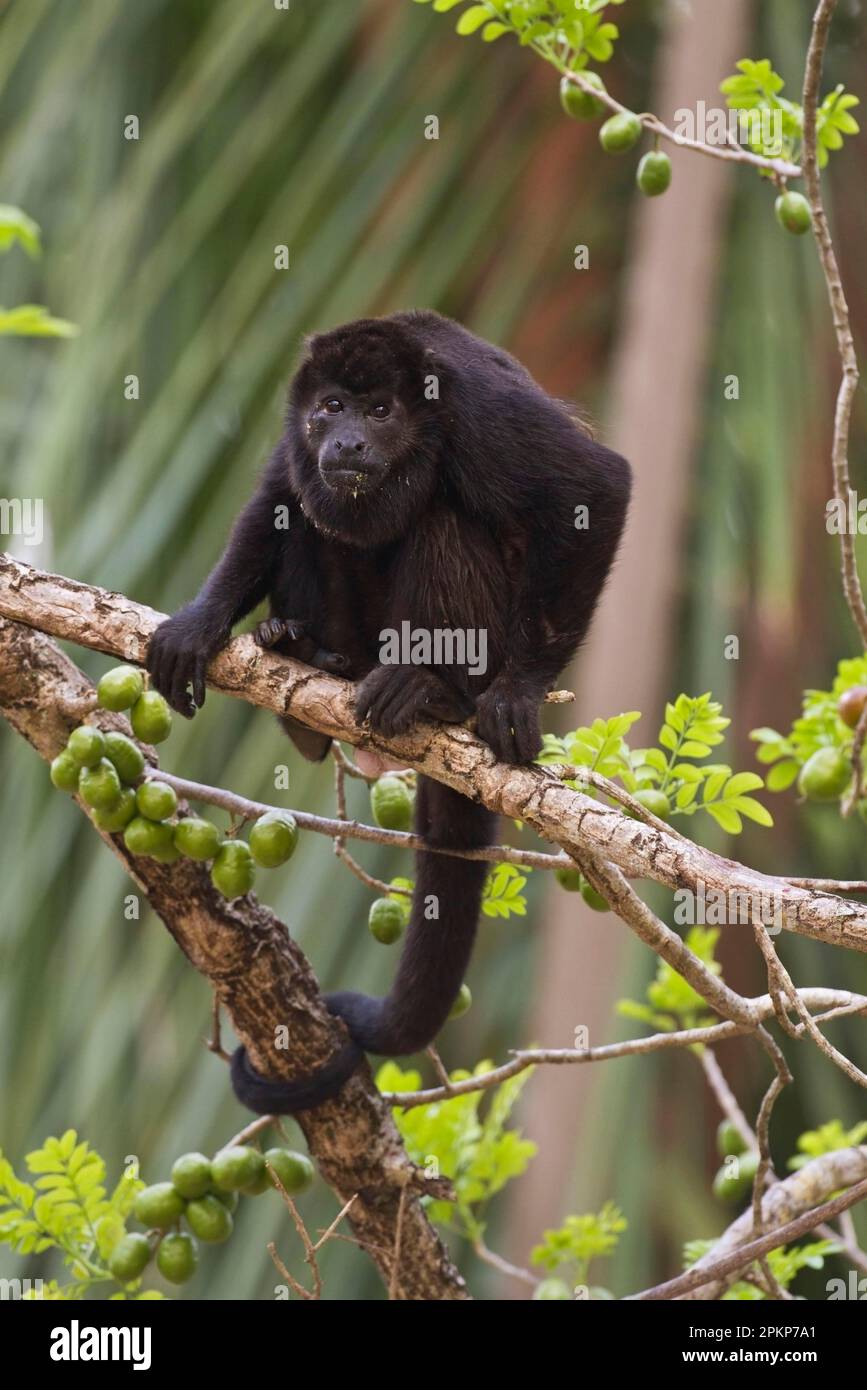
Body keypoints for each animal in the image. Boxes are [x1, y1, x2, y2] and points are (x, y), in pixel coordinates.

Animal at [146, 310, 631, 1114]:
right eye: (331, 407)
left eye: (380, 412)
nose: (344, 442)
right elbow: (276, 491)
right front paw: (201, 619)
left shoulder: (479, 412)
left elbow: (594, 485)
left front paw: (520, 692)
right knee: (307, 513)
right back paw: (307, 667)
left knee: (442, 524)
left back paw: (434, 692)